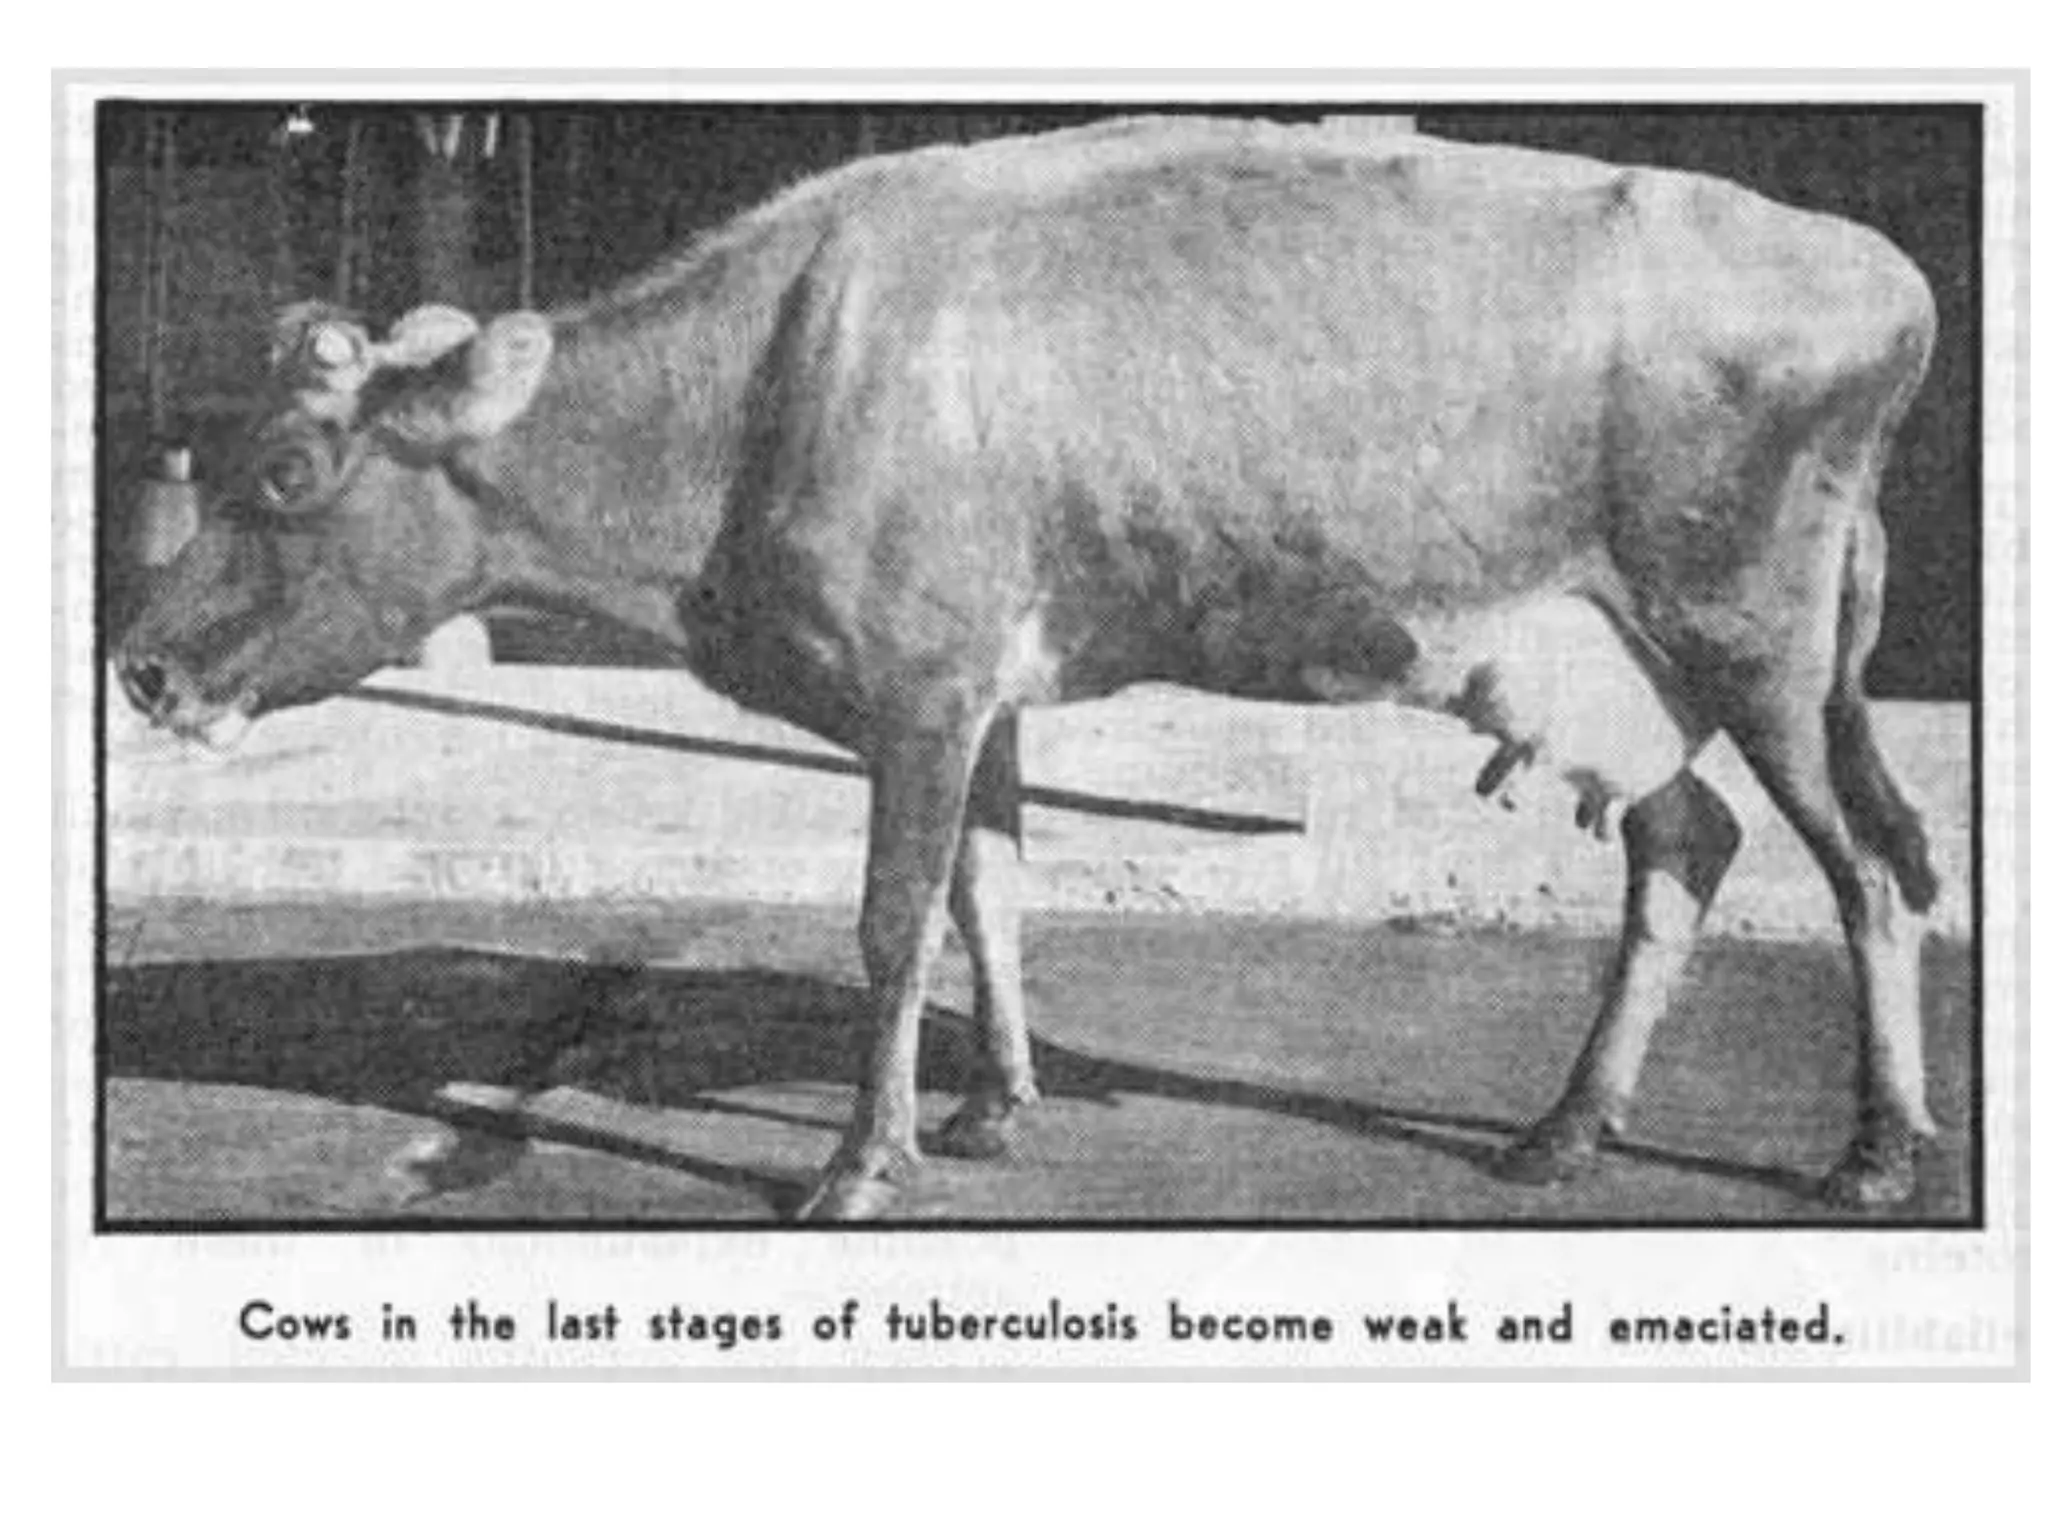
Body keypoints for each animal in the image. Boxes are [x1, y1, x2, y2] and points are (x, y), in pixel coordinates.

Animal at [114, 116, 1943, 1220]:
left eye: (289, 469)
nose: (135, 671)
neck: (764, 384)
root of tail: (1882, 268)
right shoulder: (978, 696)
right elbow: (991, 892)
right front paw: (994, 1107)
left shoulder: (916, 693)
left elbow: (888, 921)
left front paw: (861, 1164)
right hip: (1612, 667)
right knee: (1686, 846)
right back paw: (1564, 1128)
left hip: (1756, 646)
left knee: (1864, 872)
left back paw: (1877, 1151)